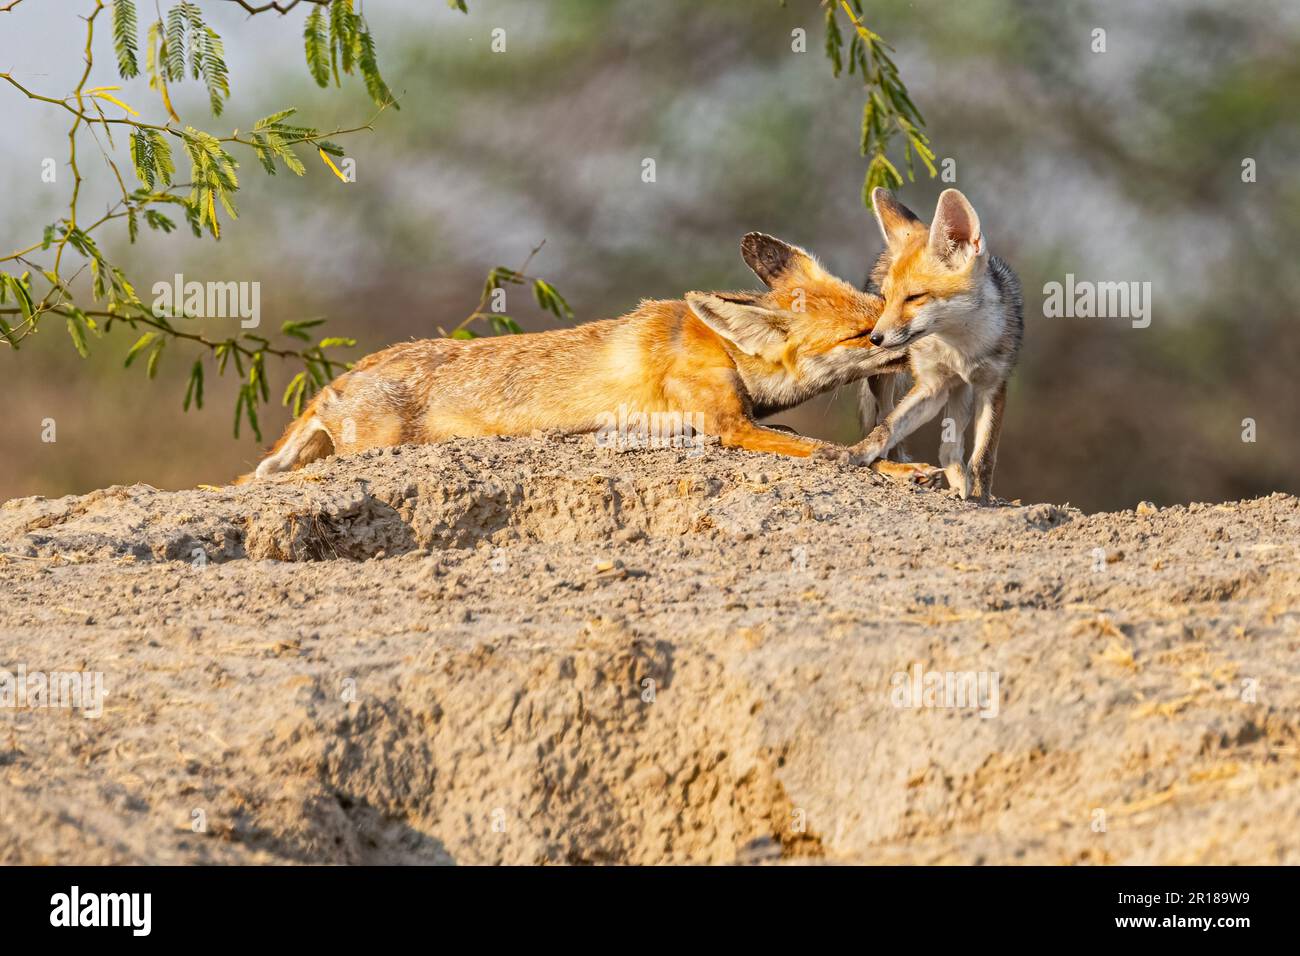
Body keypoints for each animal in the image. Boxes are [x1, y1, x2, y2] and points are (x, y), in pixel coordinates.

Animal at [235, 232, 941, 485]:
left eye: (883, 307)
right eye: (865, 334)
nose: (912, 343)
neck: (718, 345)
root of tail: (340, 379)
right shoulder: (726, 427)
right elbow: (828, 453)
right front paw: (902, 470)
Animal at [850, 187, 1023, 500]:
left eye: (914, 297)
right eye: (888, 298)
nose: (874, 338)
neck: (959, 346)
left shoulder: (992, 386)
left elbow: (983, 458)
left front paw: (980, 497)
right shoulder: (932, 386)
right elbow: (886, 429)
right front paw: (855, 453)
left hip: (961, 392)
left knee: (950, 450)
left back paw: (957, 482)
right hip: (886, 382)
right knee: (887, 426)